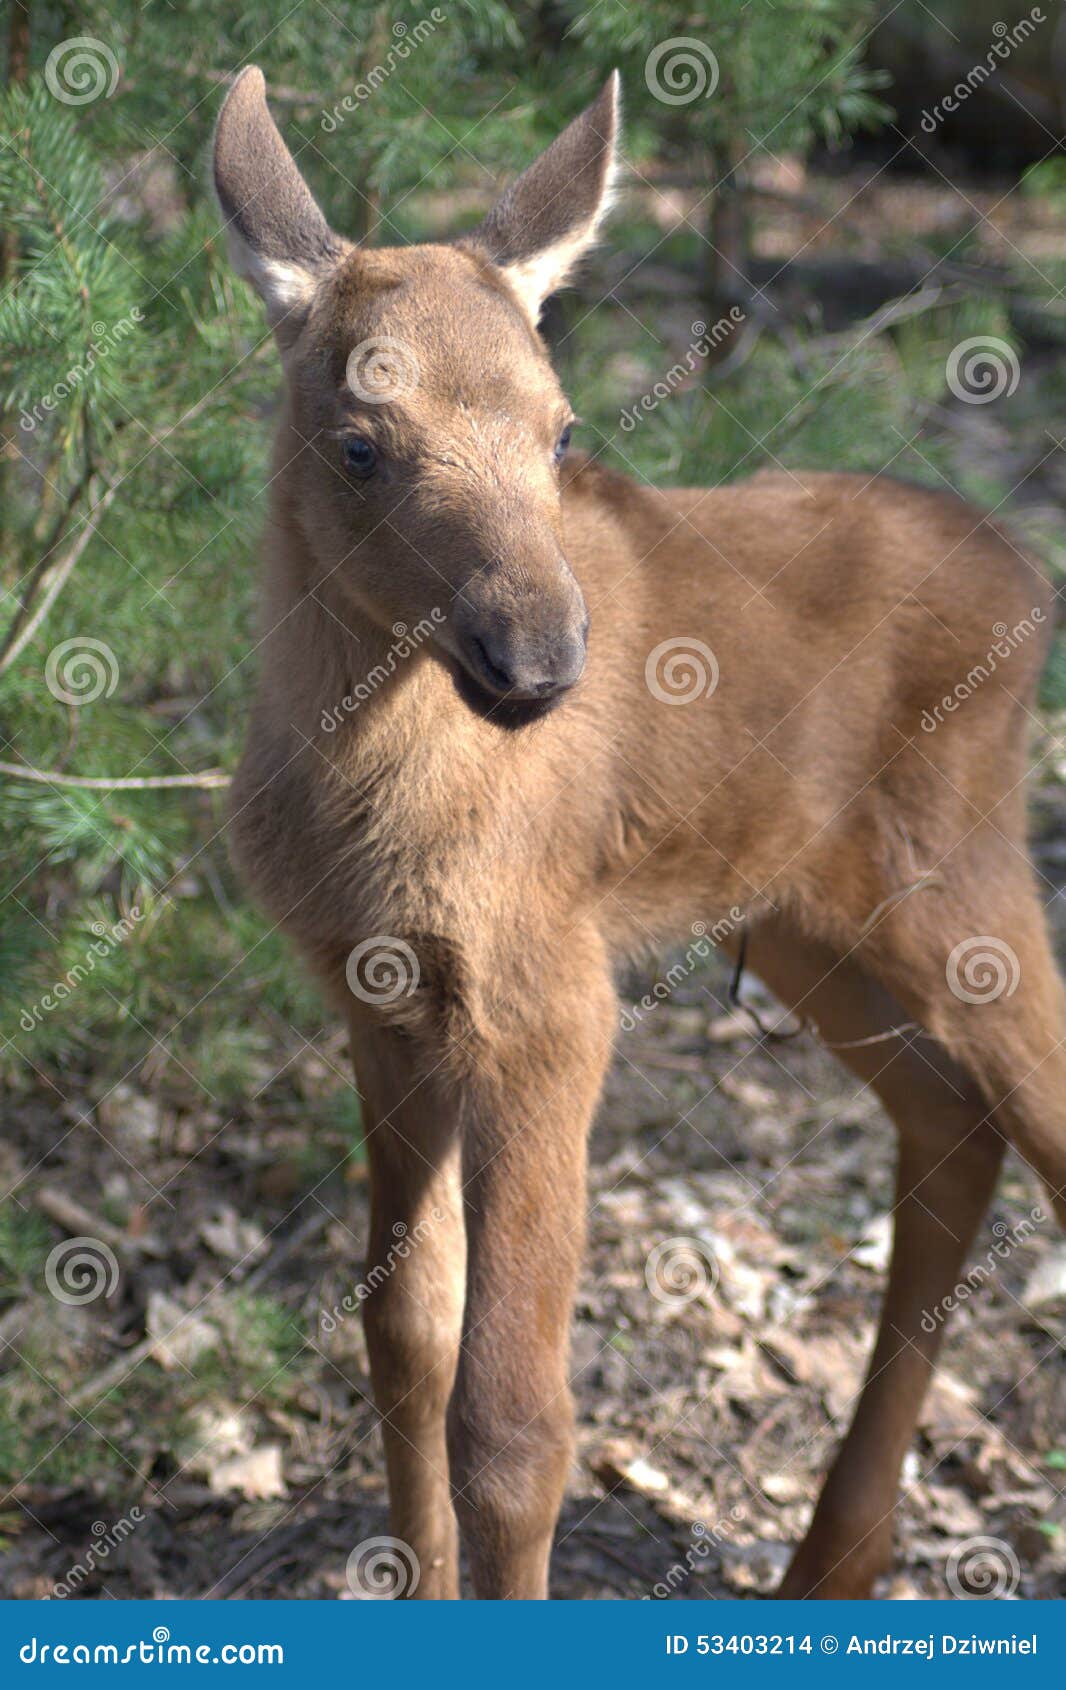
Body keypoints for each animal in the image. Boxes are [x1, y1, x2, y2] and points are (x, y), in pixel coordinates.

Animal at [213, 66, 1066, 1600]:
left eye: (560, 430)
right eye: (359, 444)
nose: (537, 657)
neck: (365, 796)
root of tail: (1028, 570)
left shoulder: (549, 998)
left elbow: (513, 1418)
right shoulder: (380, 998)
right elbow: (404, 1333)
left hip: (960, 884)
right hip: (804, 919)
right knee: (952, 1124)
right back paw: (830, 1562)